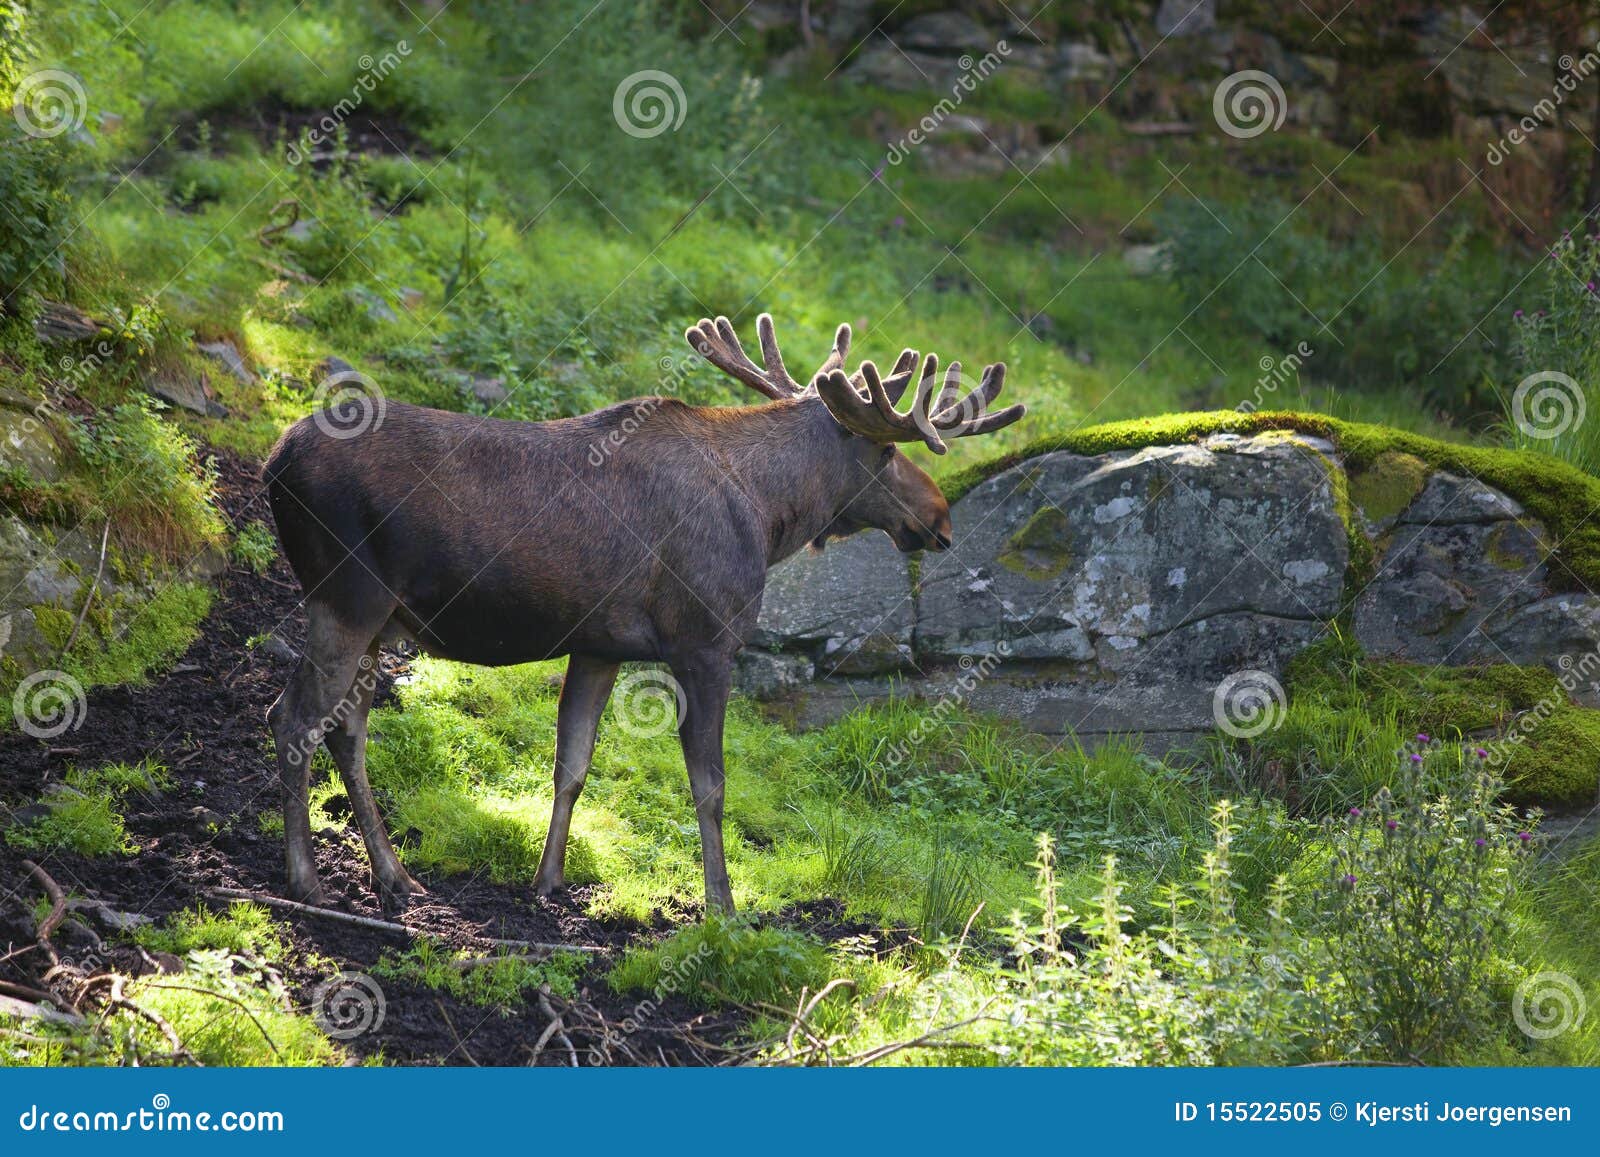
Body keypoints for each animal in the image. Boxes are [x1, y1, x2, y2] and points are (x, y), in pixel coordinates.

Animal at [263, 314, 1024, 915]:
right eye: (888, 449)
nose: (940, 516)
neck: (767, 517)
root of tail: (274, 461)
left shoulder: (600, 645)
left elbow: (571, 763)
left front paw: (548, 881)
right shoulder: (706, 642)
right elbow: (711, 786)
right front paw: (724, 906)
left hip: (378, 620)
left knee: (347, 729)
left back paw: (394, 876)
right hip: (345, 594)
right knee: (292, 718)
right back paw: (306, 879)